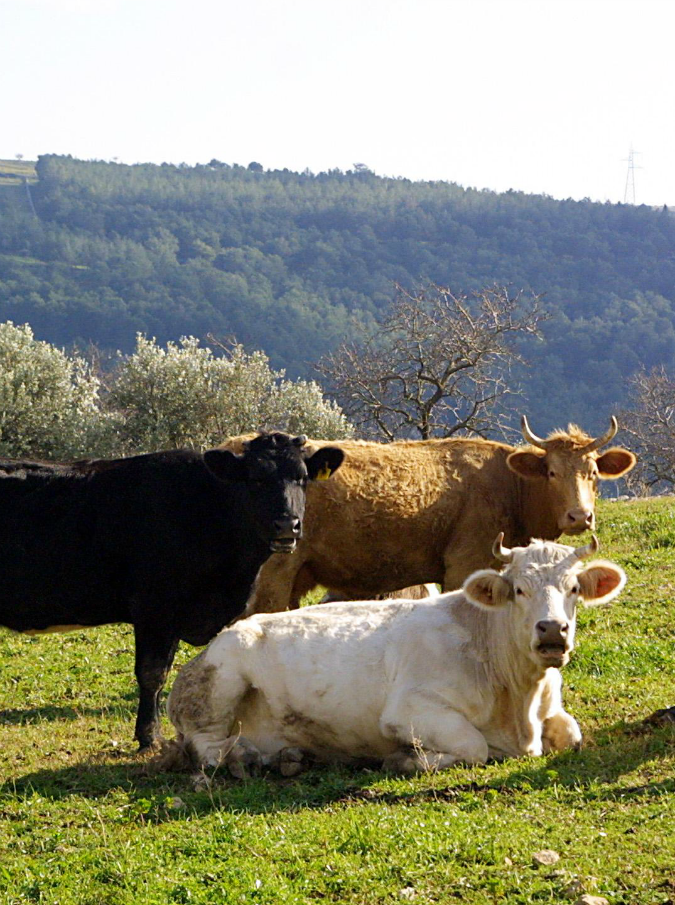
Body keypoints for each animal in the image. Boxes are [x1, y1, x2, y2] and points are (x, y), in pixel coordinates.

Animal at [0, 432, 344, 750]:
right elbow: (152, 673)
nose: (287, 525)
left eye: (302, 478)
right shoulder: (155, 608)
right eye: (256, 478)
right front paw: (149, 737)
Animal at [160, 534, 626, 776]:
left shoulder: (552, 710)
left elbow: (571, 733)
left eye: (574, 588)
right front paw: (407, 759)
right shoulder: (410, 710)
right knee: (208, 749)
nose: (552, 630)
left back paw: (288, 756)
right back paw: (249, 758)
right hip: (219, 684)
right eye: (518, 590)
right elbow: (473, 746)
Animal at [223, 417, 635, 616]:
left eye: (593, 473)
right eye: (551, 472)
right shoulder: (463, 564)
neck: (509, 485)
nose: (579, 516)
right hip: (275, 572)